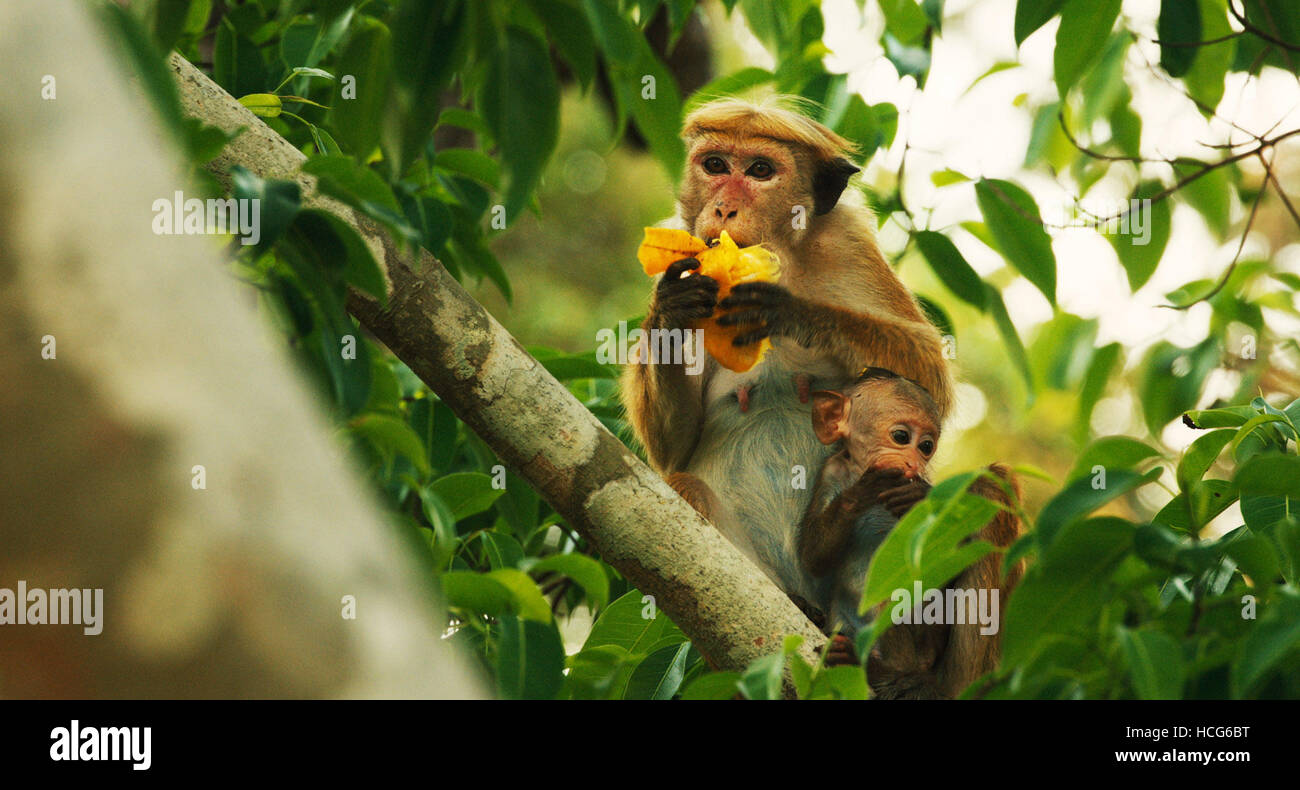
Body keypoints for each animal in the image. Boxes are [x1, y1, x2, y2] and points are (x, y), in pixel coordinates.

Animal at [621, 97, 954, 611]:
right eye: (715, 165)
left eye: (760, 170)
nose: (724, 208)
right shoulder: (680, 249)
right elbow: (674, 451)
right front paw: (671, 308)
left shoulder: (848, 245)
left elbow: (930, 374)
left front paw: (789, 310)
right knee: (686, 485)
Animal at [796, 369, 1024, 699]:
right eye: (901, 437)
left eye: (926, 446)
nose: (914, 462)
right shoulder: (831, 470)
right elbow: (814, 556)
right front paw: (864, 489)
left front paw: (919, 495)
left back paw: (887, 671)